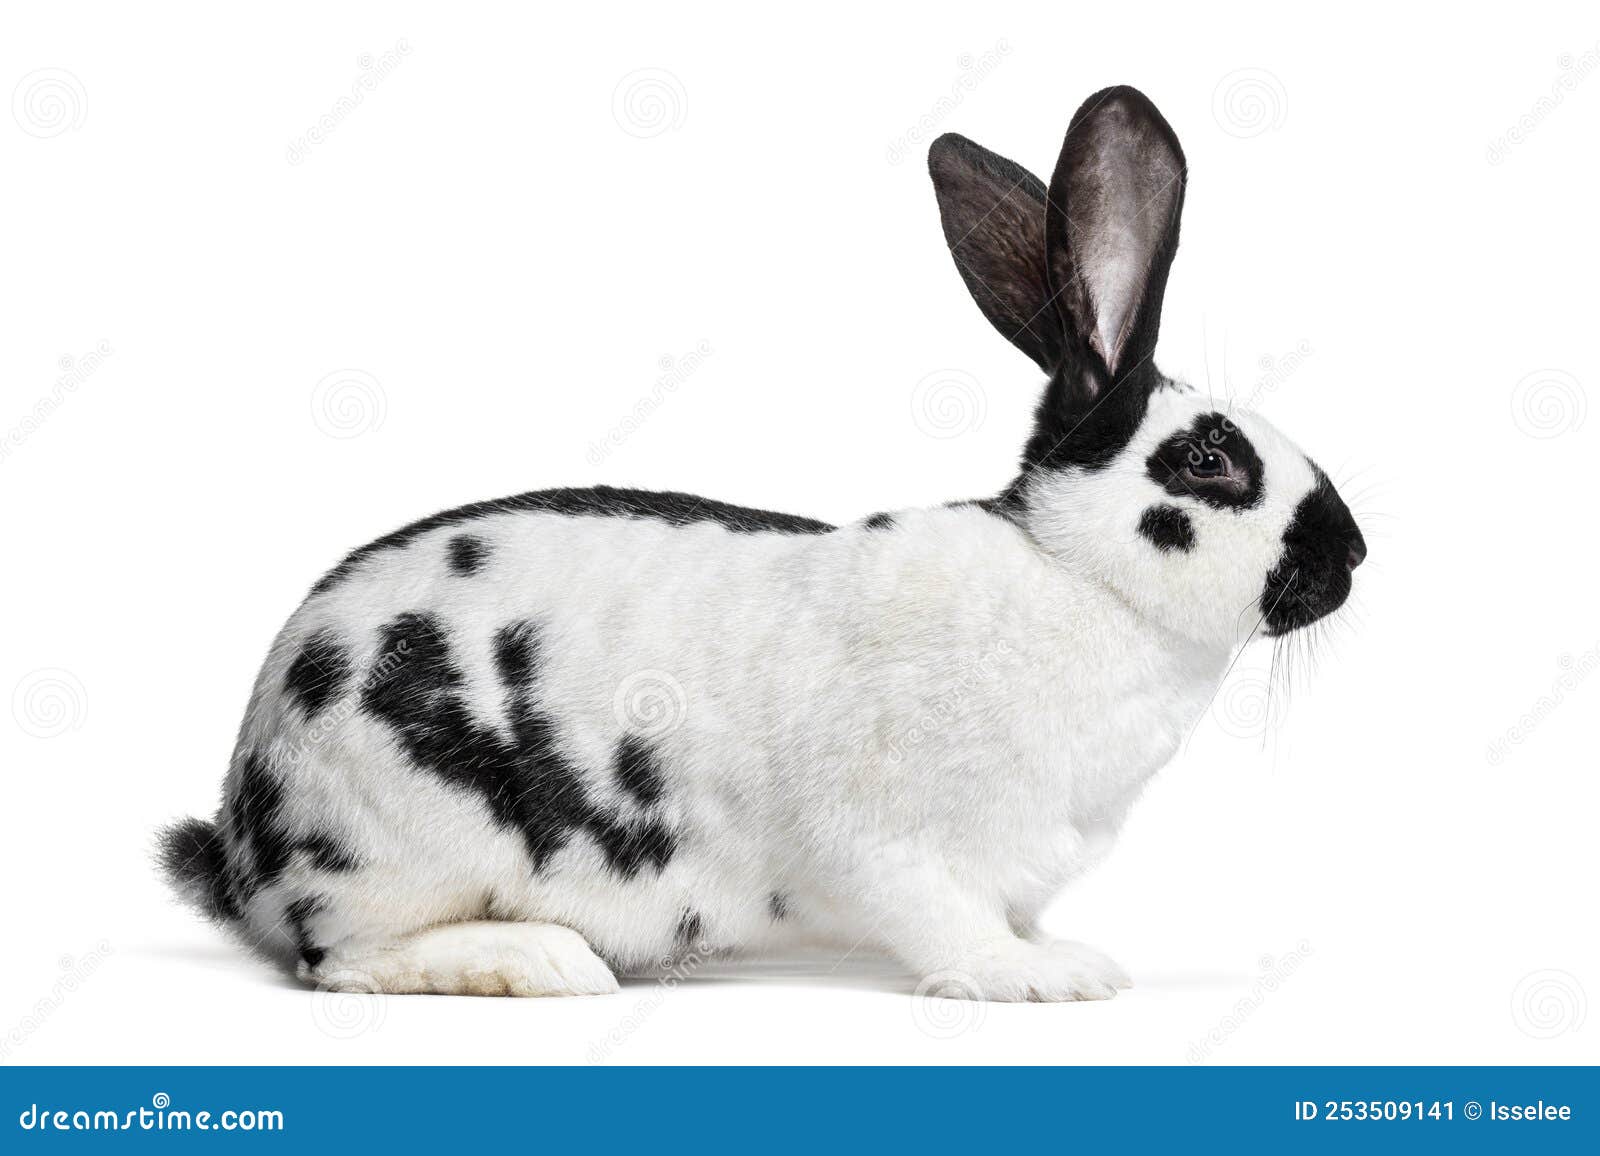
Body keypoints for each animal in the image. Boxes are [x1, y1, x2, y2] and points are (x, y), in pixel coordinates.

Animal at [159, 85, 1365, 1002]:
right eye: (1208, 460)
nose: (1350, 556)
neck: (1077, 579)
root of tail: (244, 829)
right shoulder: (899, 850)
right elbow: (950, 928)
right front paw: (1044, 978)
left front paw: (1065, 954)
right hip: (400, 845)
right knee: (342, 959)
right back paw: (542, 961)